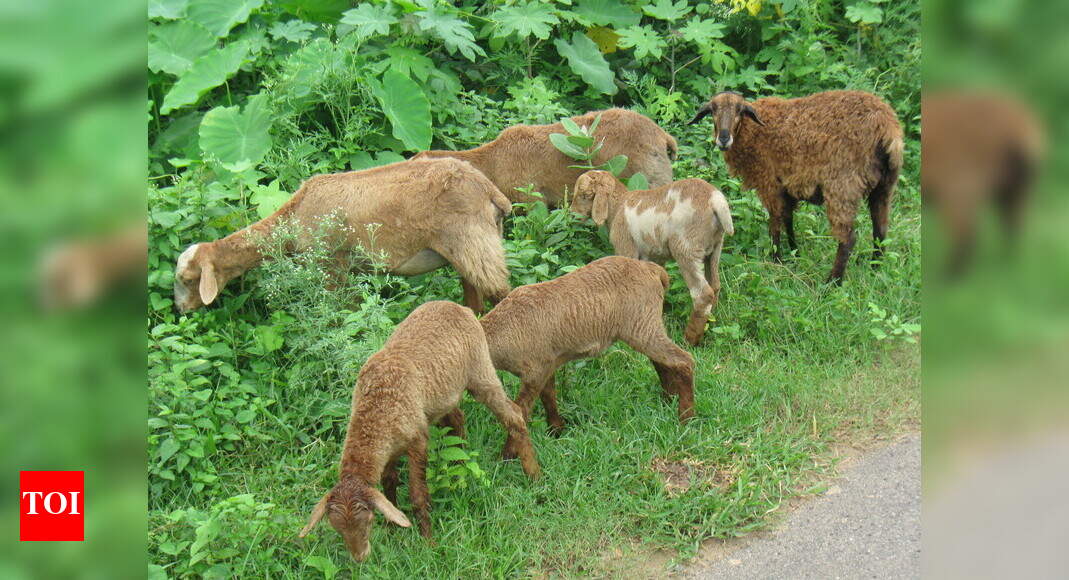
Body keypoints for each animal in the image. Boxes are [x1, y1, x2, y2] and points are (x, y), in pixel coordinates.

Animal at [173, 158, 512, 314]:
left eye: (187, 279)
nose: (180, 309)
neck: (293, 218)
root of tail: (489, 190)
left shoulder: (331, 267)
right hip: (469, 249)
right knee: (475, 301)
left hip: (473, 242)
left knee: (503, 293)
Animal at [298, 300, 540, 562]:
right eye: (337, 528)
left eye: (367, 521)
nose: (359, 558)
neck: (375, 410)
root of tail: (456, 306)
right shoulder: (389, 449)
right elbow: (389, 484)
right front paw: (393, 528)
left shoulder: (417, 442)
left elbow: (417, 495)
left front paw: (428, 543)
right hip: (442, 395)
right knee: (458, 418)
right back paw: (461, 464)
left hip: (481, 372)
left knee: (514, 415)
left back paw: (533, 474)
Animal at [480, 256, 695, 455]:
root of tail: (654, 270)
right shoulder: (547, 365)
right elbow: (549, 397)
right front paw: (557, 430)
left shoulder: (535, 371)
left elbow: (520, 412)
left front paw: (507, 456)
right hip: (645, 326)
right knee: (662, 361)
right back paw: (668, 399)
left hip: (642, 324)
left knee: (684, 361)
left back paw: (686, 417)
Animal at [571, 170, 734, 346]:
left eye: (584, 194)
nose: (571, 215)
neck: (619, 206)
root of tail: (715, 200)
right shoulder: (655, 257)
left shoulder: (626, 249)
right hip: (715, 248)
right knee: (715, 285)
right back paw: (710, 324)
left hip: (686, 248)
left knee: (702, 294)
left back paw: (690, 339)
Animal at [689, 90, 904, 283]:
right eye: (712, 110)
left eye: (740, 111)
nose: (723, 138)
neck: (751, 130)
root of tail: (887, 128)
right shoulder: (788, 187)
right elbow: (788, 220)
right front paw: (795, 253)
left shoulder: (769, 183)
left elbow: (775, 224)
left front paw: (776, 260)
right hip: (885, 186)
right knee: (880, 230)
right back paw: (876, 269)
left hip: (843, 186)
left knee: (848, 238)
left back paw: (832, 282)